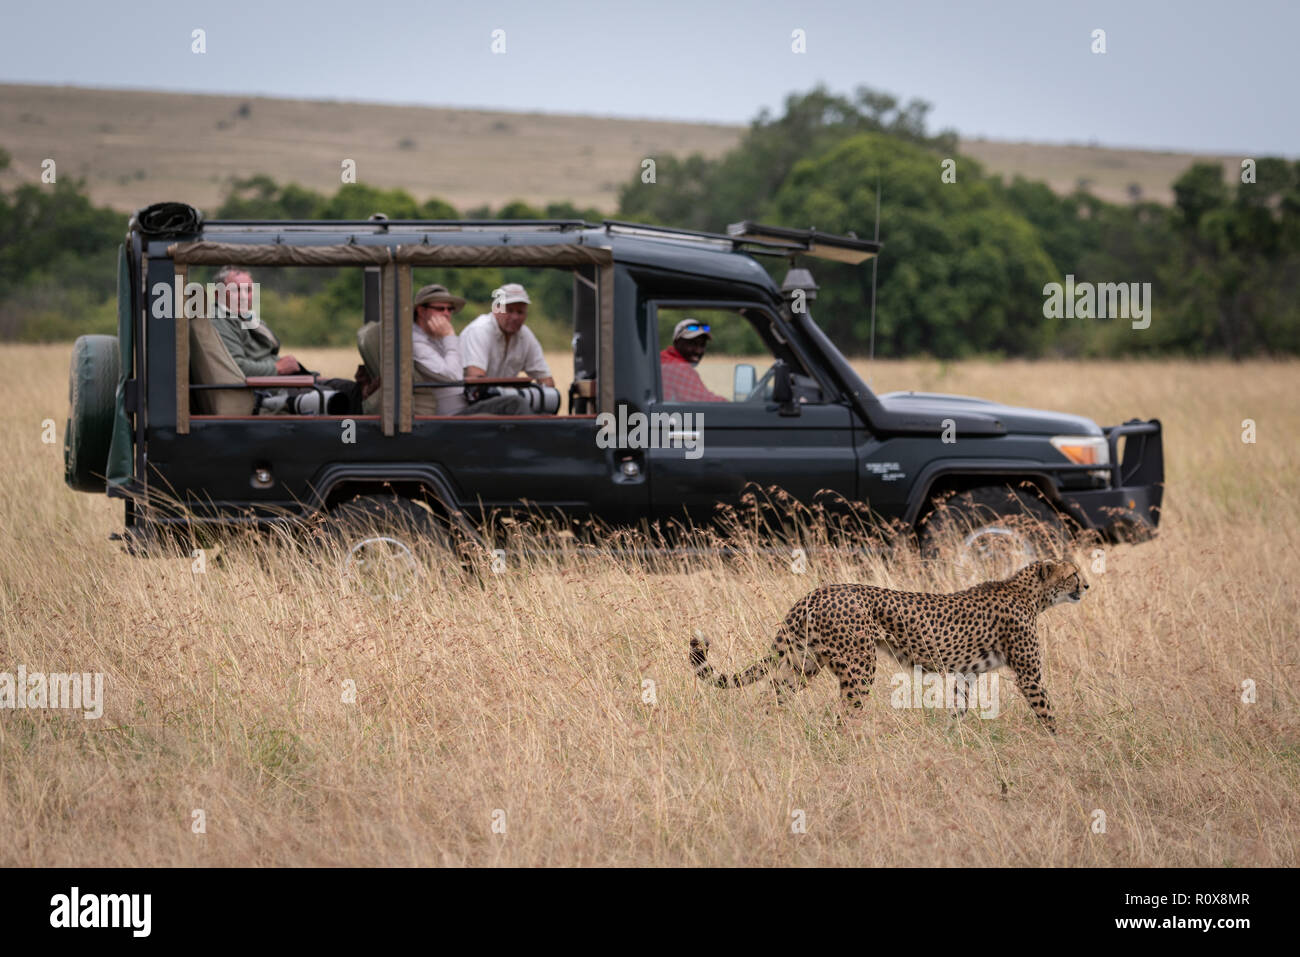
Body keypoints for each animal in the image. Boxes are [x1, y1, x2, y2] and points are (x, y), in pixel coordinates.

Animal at [689, 560, 1087, 732]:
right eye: (1072, 573)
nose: (1086, 586)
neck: (1030, 593)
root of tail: (817, 591)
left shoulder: (965, 675)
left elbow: (958, 709)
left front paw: (951, 740)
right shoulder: (1029, 675)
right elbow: (1046, 710)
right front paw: (1060, 743)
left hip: (802, 663)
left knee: (771, 696)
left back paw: (766, 732)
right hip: (858, 666)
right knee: (844, 714)